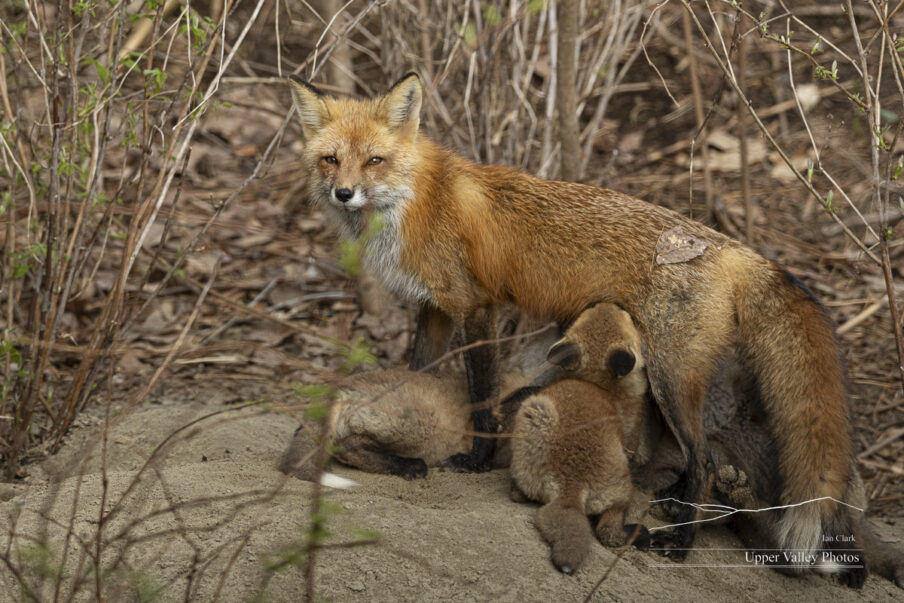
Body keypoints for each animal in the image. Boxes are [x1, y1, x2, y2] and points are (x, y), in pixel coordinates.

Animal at [508, 303, 651, 574]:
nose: (612, 303)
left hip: (534, 411)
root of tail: (572, 486)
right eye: (628, 319)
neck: (598, 386)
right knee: (608, 530)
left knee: (519, 495)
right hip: (623, 487)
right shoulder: (631, 435)